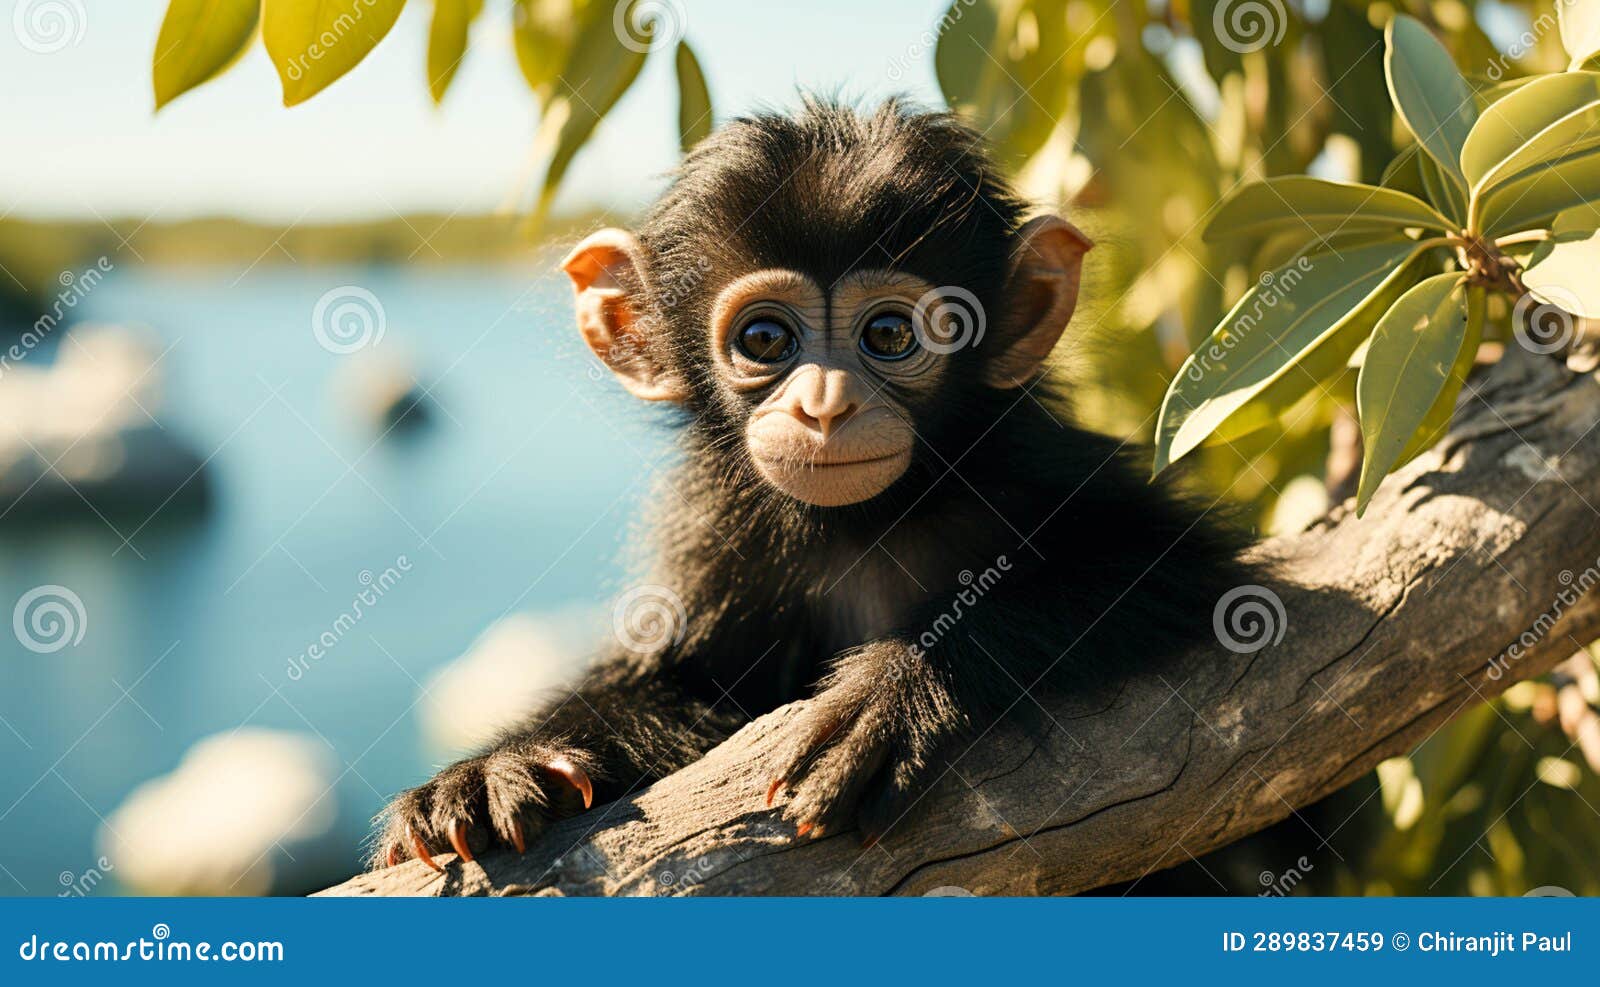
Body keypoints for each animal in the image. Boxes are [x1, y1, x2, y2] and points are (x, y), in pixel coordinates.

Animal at [370, 98, 1257, 871]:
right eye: (765, 339)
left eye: (890, 333)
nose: (825, 404)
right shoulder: (714, 537)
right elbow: (694, 695)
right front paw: (511, 762)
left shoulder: (1043, 465)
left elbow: (1200, 581)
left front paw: (894, 693)